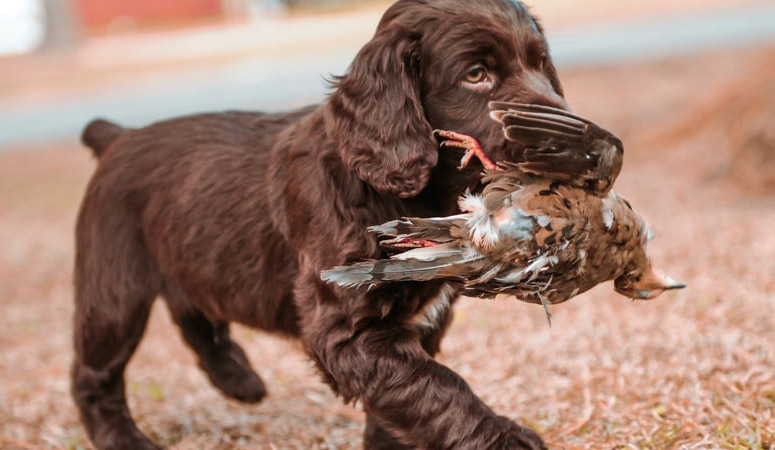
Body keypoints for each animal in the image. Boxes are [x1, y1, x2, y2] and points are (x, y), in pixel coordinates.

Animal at [74, 1, 564, 448]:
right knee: (93, 376)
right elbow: (439, 389)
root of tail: (118, 136)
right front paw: (507, 440)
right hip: (114, 291)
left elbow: (407, 397)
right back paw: (125, 439)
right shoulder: (347, 329)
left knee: (192, 312)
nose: (565, 135)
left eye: (542, 65)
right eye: (476, 75)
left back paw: (238, 379)